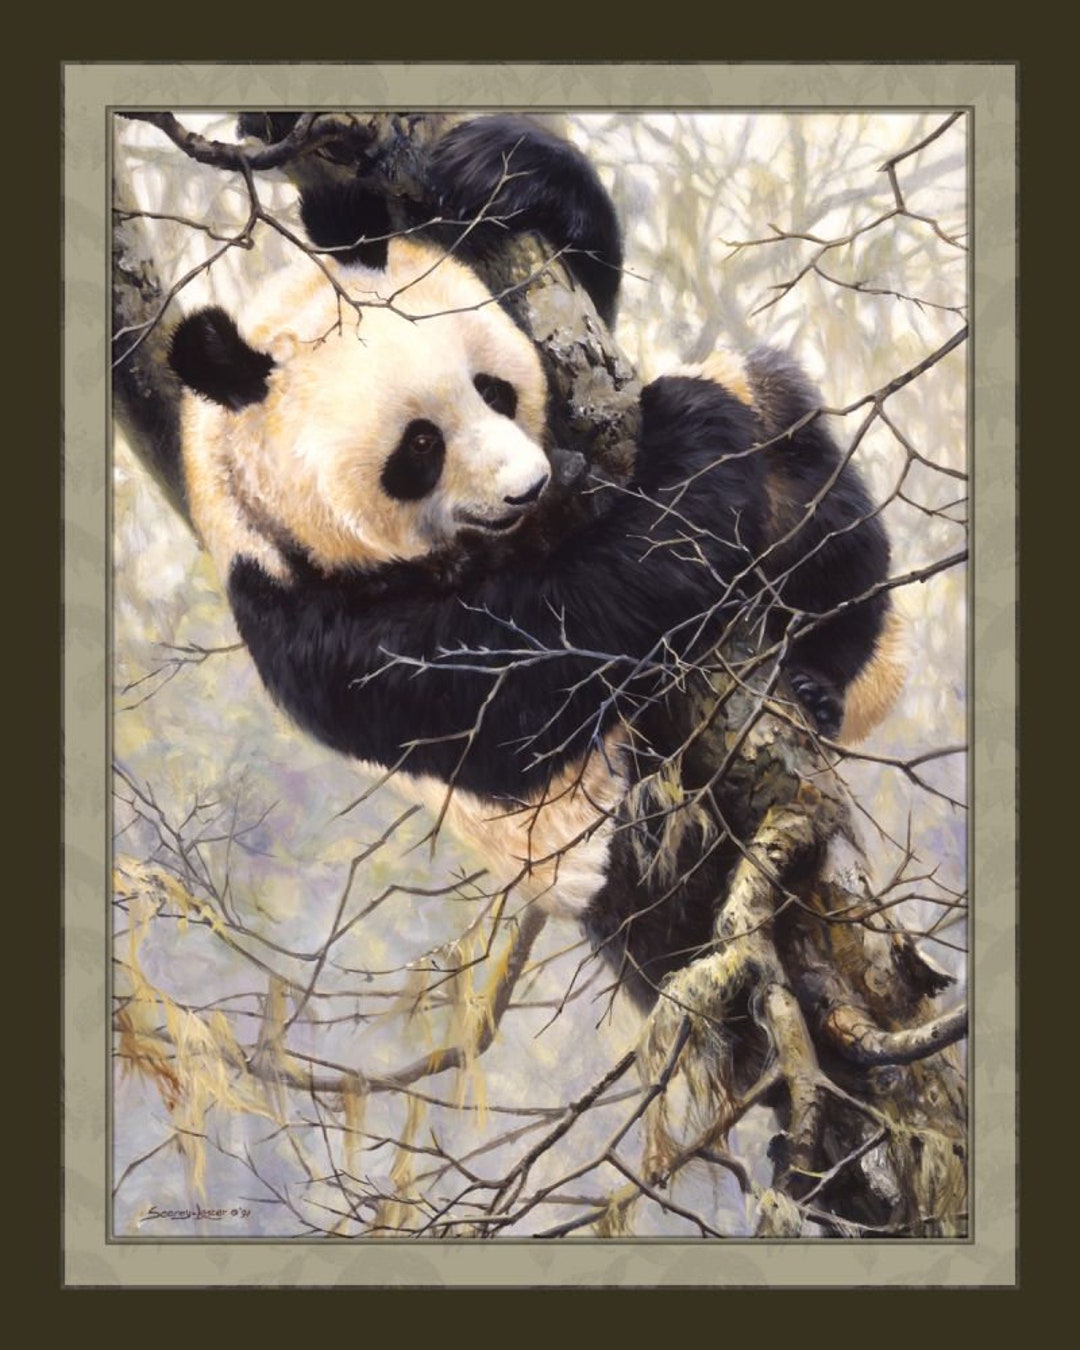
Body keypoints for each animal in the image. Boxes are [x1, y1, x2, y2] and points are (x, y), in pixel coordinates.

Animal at [167, 115, 904, 1008]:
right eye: (419, 448)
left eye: (495, 389)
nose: (532, 485)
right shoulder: (305, 619)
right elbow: (534, 664)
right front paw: (691, 433)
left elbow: (583, 312)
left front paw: (500, 171)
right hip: (615, 842)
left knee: (799, 457)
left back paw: (819, 670)